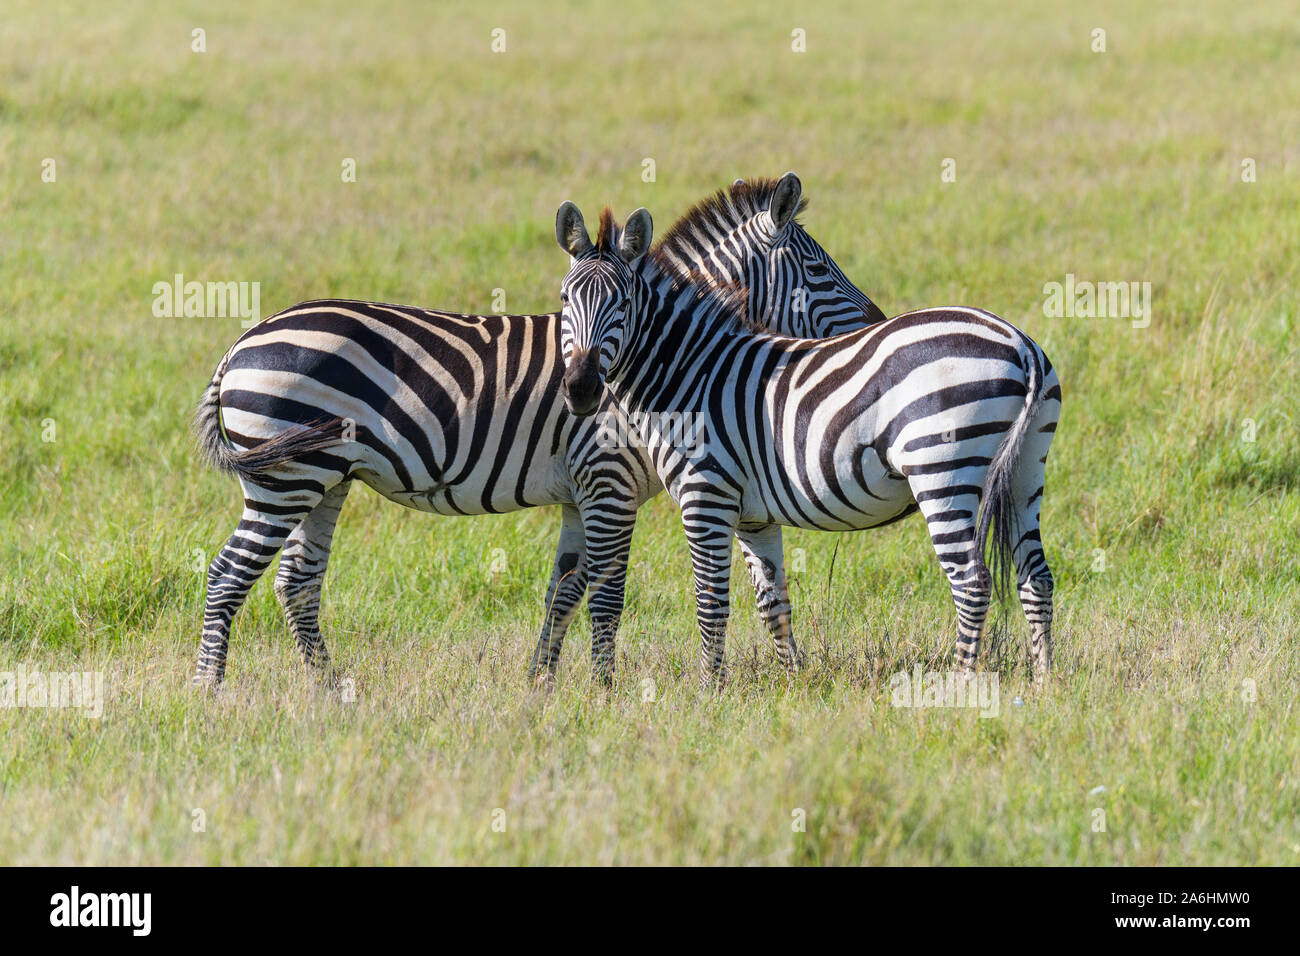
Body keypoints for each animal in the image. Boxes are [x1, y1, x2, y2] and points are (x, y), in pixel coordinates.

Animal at [191, 174, 886, 688]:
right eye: (821, 268)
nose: (879, 320)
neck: (665, 357)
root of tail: (241, 344)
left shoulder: (584, 495)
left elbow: (564, 591)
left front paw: (541, 685)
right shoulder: (609, 483)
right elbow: (606, 595)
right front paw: (604, 692)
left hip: (324, 479)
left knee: (296, 582)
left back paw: (328, 687)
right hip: (283, 478)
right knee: (228, 574)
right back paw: (210, 691)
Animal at [553, 203, 1061, 687]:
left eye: (622, 304)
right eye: (563, 299)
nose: (579, 388)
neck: (692, 369)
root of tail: (1022, 346)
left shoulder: (705, 497)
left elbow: (710, 602)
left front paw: (706, 692)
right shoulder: (753, 517)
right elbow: (771, 601)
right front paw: (793, 683)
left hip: (943, 473)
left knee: (972, 583)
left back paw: (960, 686)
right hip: (1025, 473)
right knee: (1036, 577)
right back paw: (1044, 684)